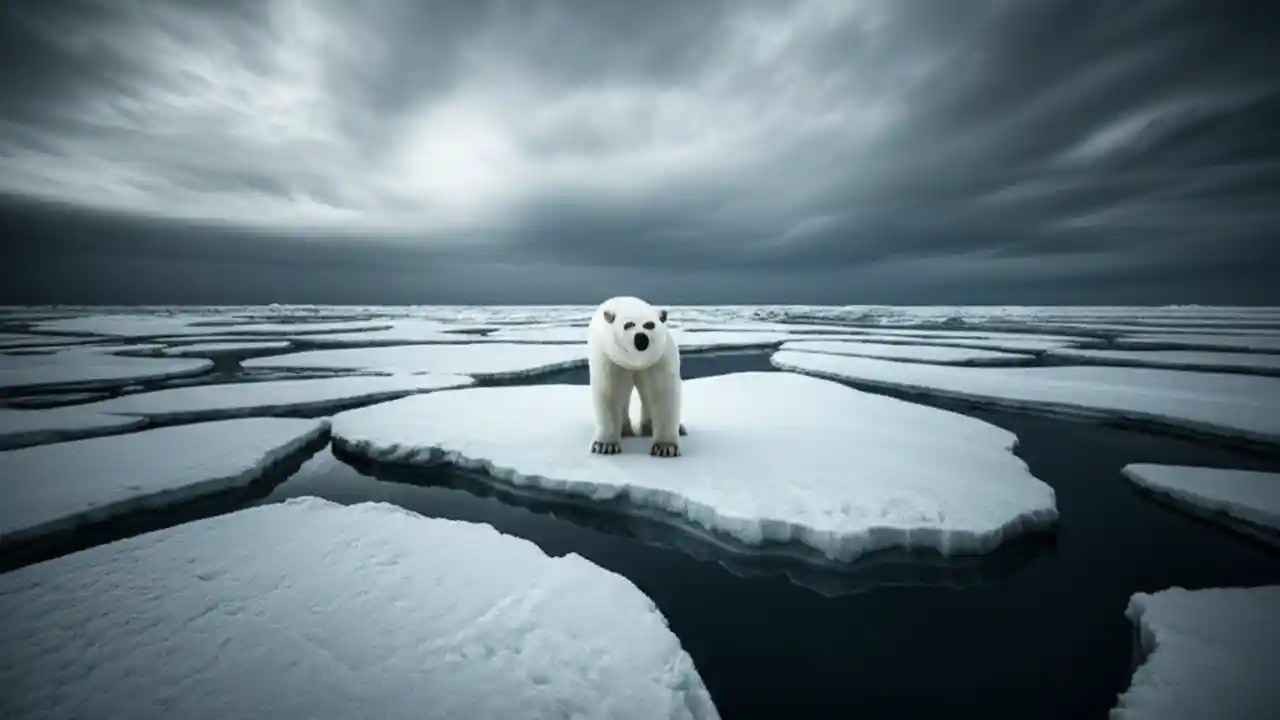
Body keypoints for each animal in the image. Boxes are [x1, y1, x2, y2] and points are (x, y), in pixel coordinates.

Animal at [587, 295, 686, 457]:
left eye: (650, 325)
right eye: (628, 325)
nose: (641, 338)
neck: (635, 362)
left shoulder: (659, 360)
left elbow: (662, 393)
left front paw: (665, 448)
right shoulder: (610, 359)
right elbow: (609, 393)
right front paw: (605, 446)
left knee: (646, 395)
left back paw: (659, 429)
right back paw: (626, 430)